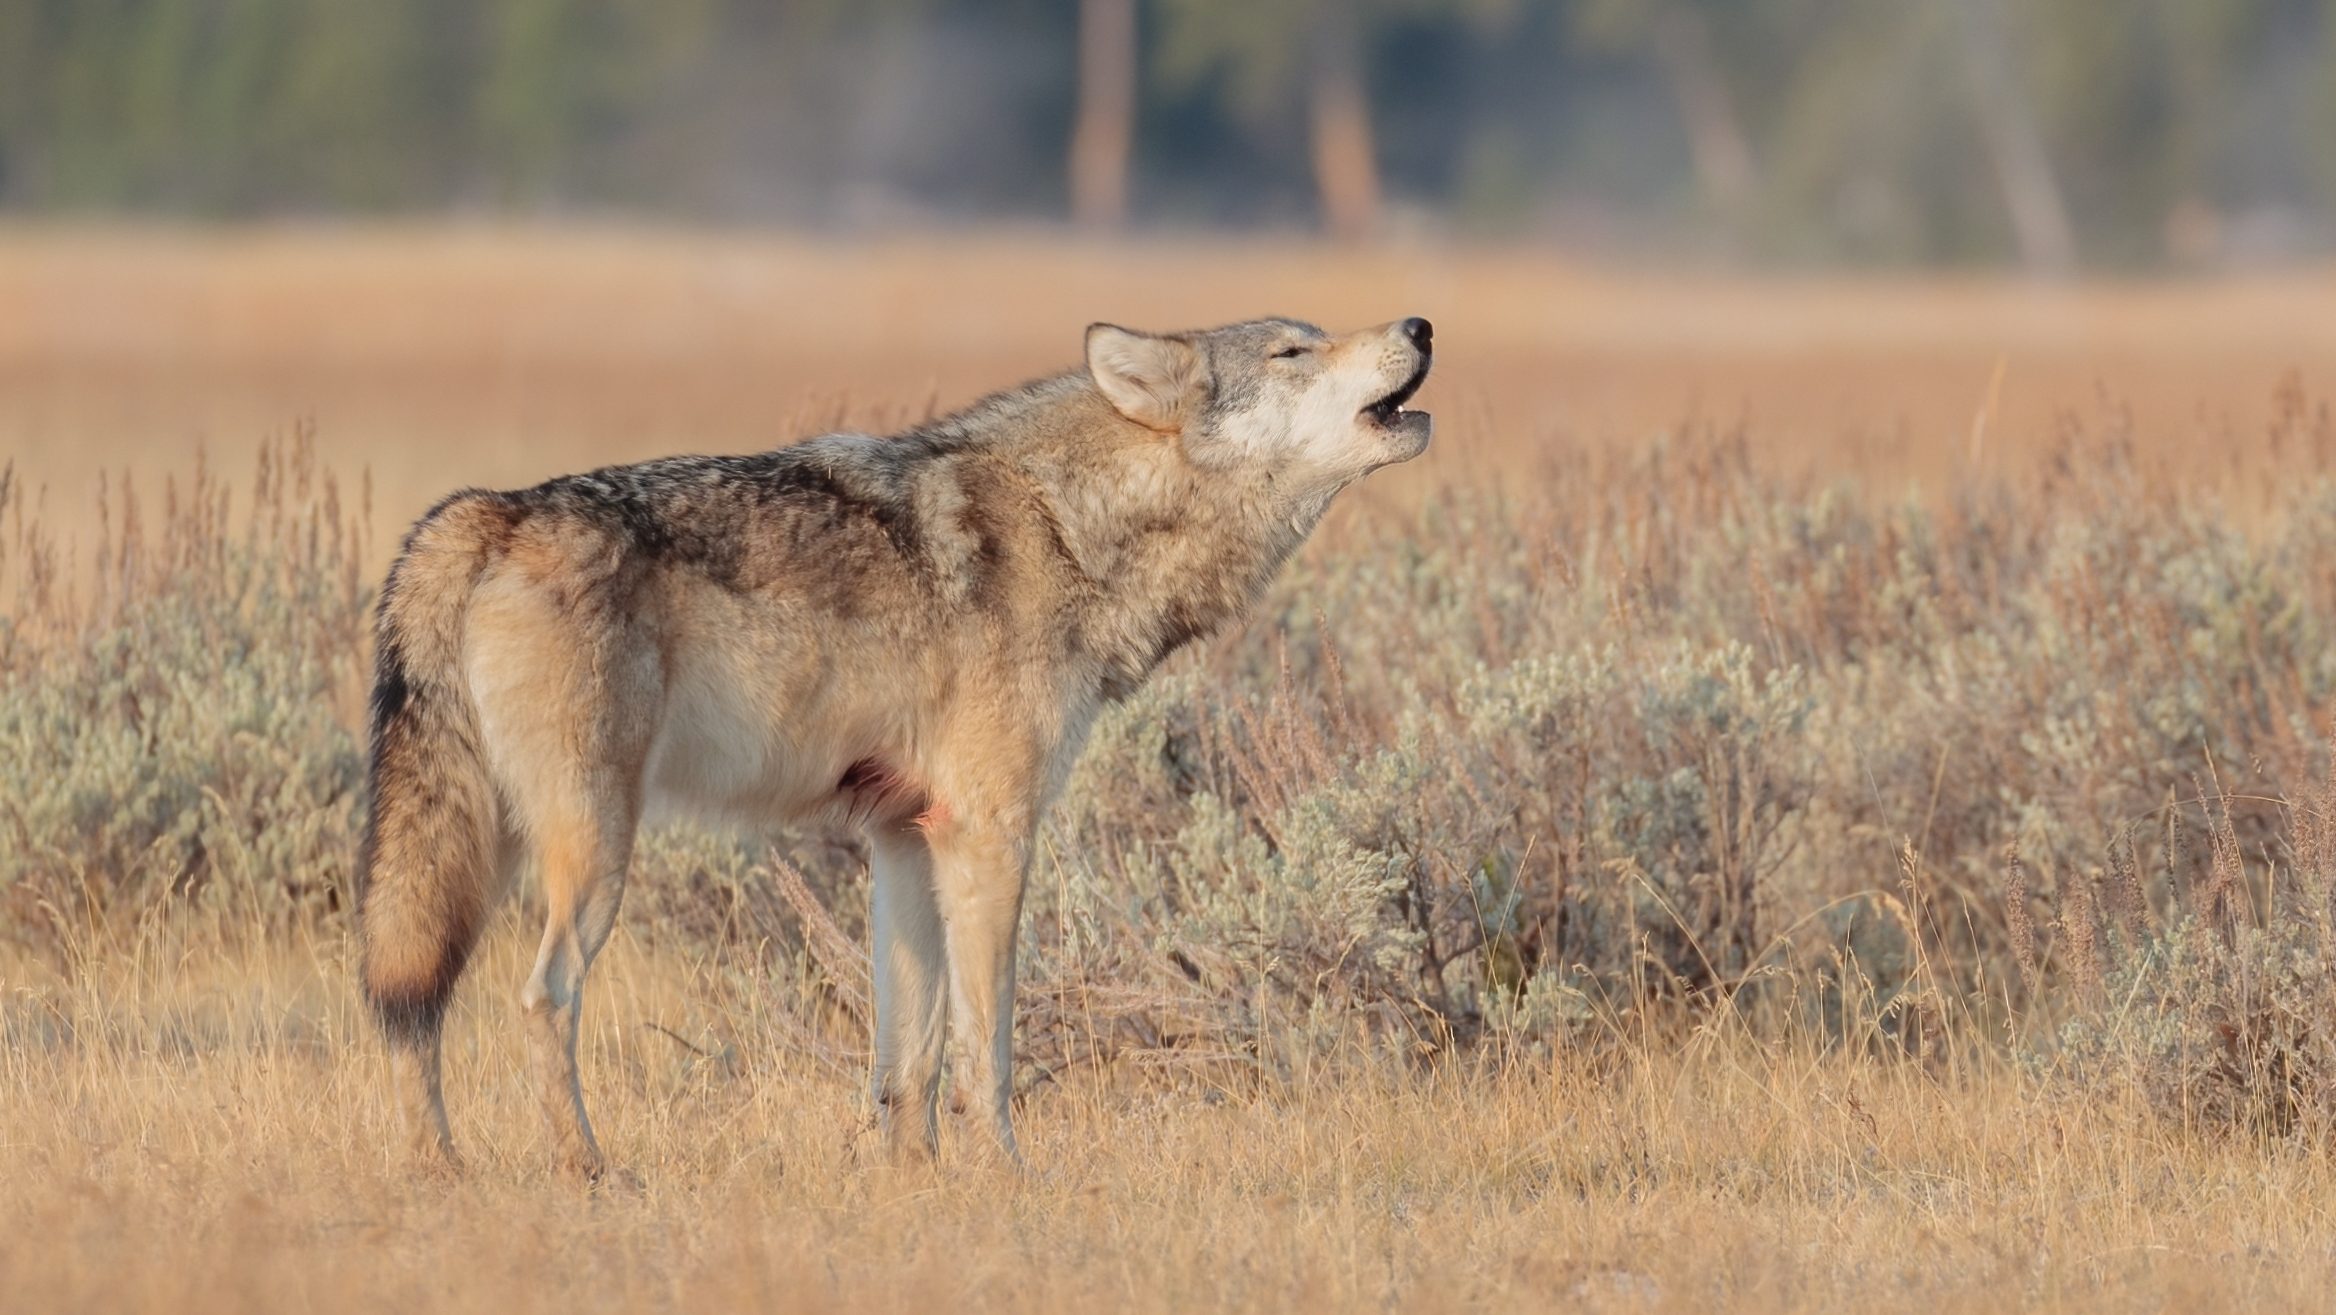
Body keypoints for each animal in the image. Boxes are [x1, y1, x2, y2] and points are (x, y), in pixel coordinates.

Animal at [355, 315, 1434, 1176]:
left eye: (1314, 335)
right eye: (1292, 351)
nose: (1419, 324)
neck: (1065, 522)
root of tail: (483, 511)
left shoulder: (905, 835)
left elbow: (905, 1057)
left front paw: (915, 1179)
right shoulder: (988, 833)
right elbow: (984, 1046)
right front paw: (1006, 1176)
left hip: (475, 859)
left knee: (414, 1006)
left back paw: (438, 1168)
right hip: (589, 854)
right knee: (542, 998)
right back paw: (587, 1168)